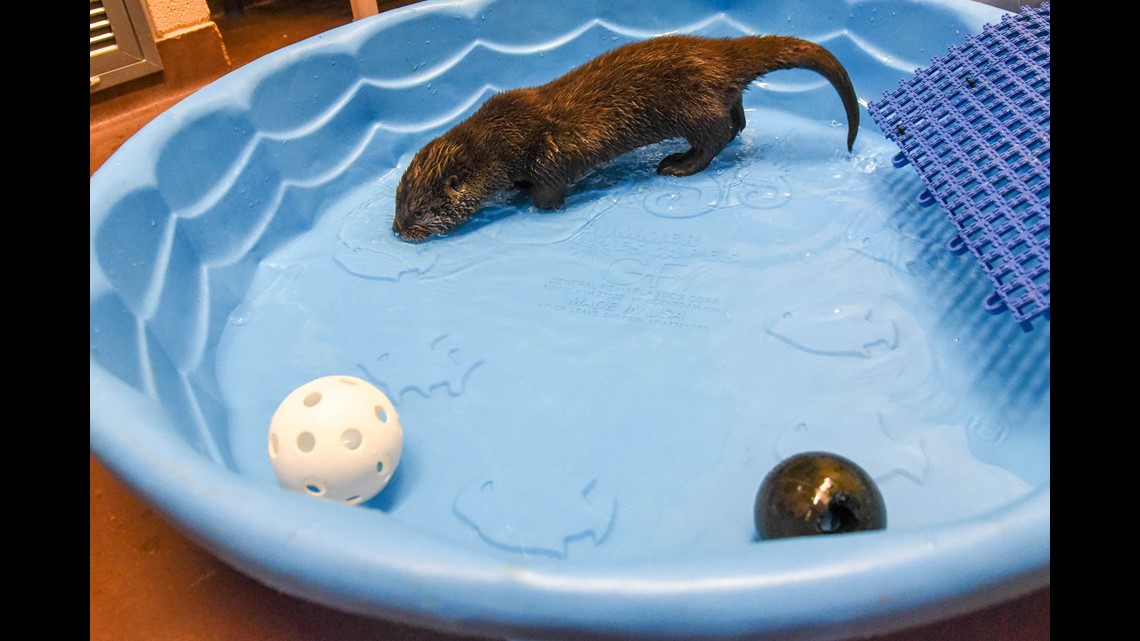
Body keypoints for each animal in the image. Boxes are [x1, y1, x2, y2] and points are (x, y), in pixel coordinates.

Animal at [393, 34, 860, 242]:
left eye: (421, 211)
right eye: (398, 202)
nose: (398, 230)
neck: (505, 136)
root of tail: (717, 51)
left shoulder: (548, 157)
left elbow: (548, 191)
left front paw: (533, 202)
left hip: (693, 107)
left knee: (717, 136)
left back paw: (676, 164)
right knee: (738, 116)